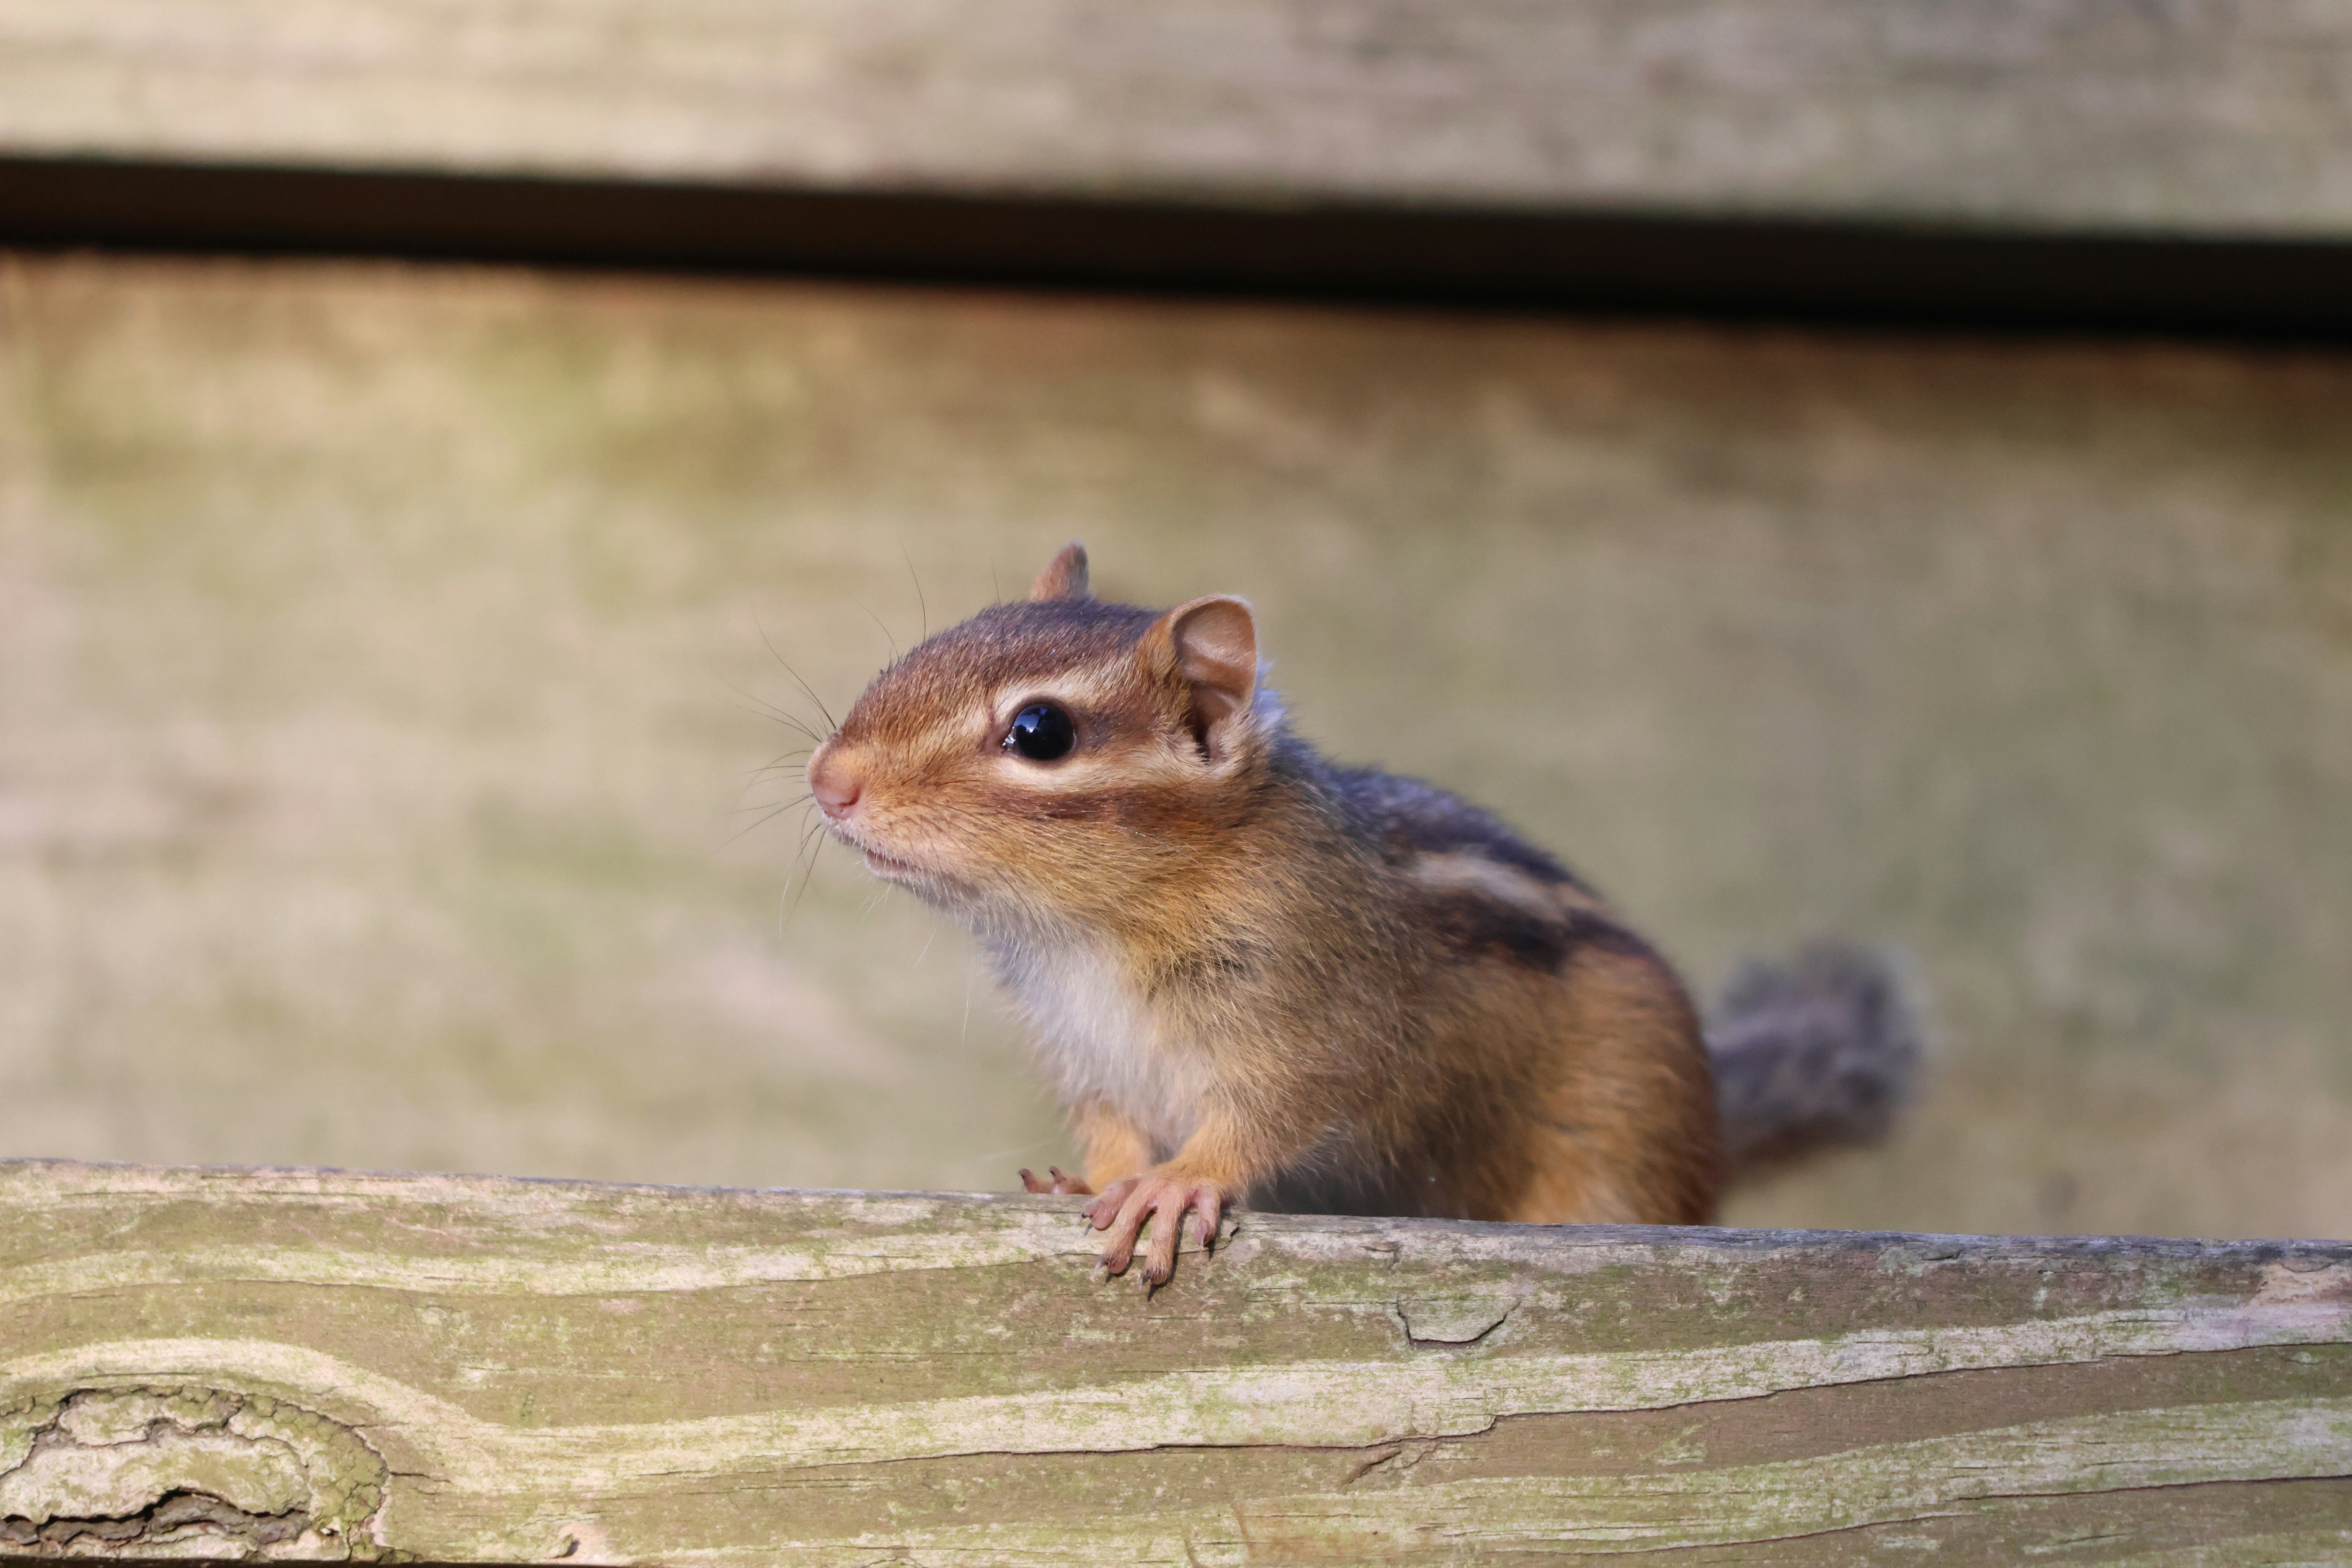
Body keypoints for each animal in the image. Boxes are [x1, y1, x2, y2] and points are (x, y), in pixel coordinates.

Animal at [806, 543, 1918, 1286]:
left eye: (1041, 731)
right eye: (928, 646)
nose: (828, 779)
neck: (1085, 933)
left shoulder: (1319, 1021)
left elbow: (1267, 1114)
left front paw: (1180, 1180)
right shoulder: (1089, 1053)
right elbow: (1115, 1128)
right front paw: (1097, 1180)